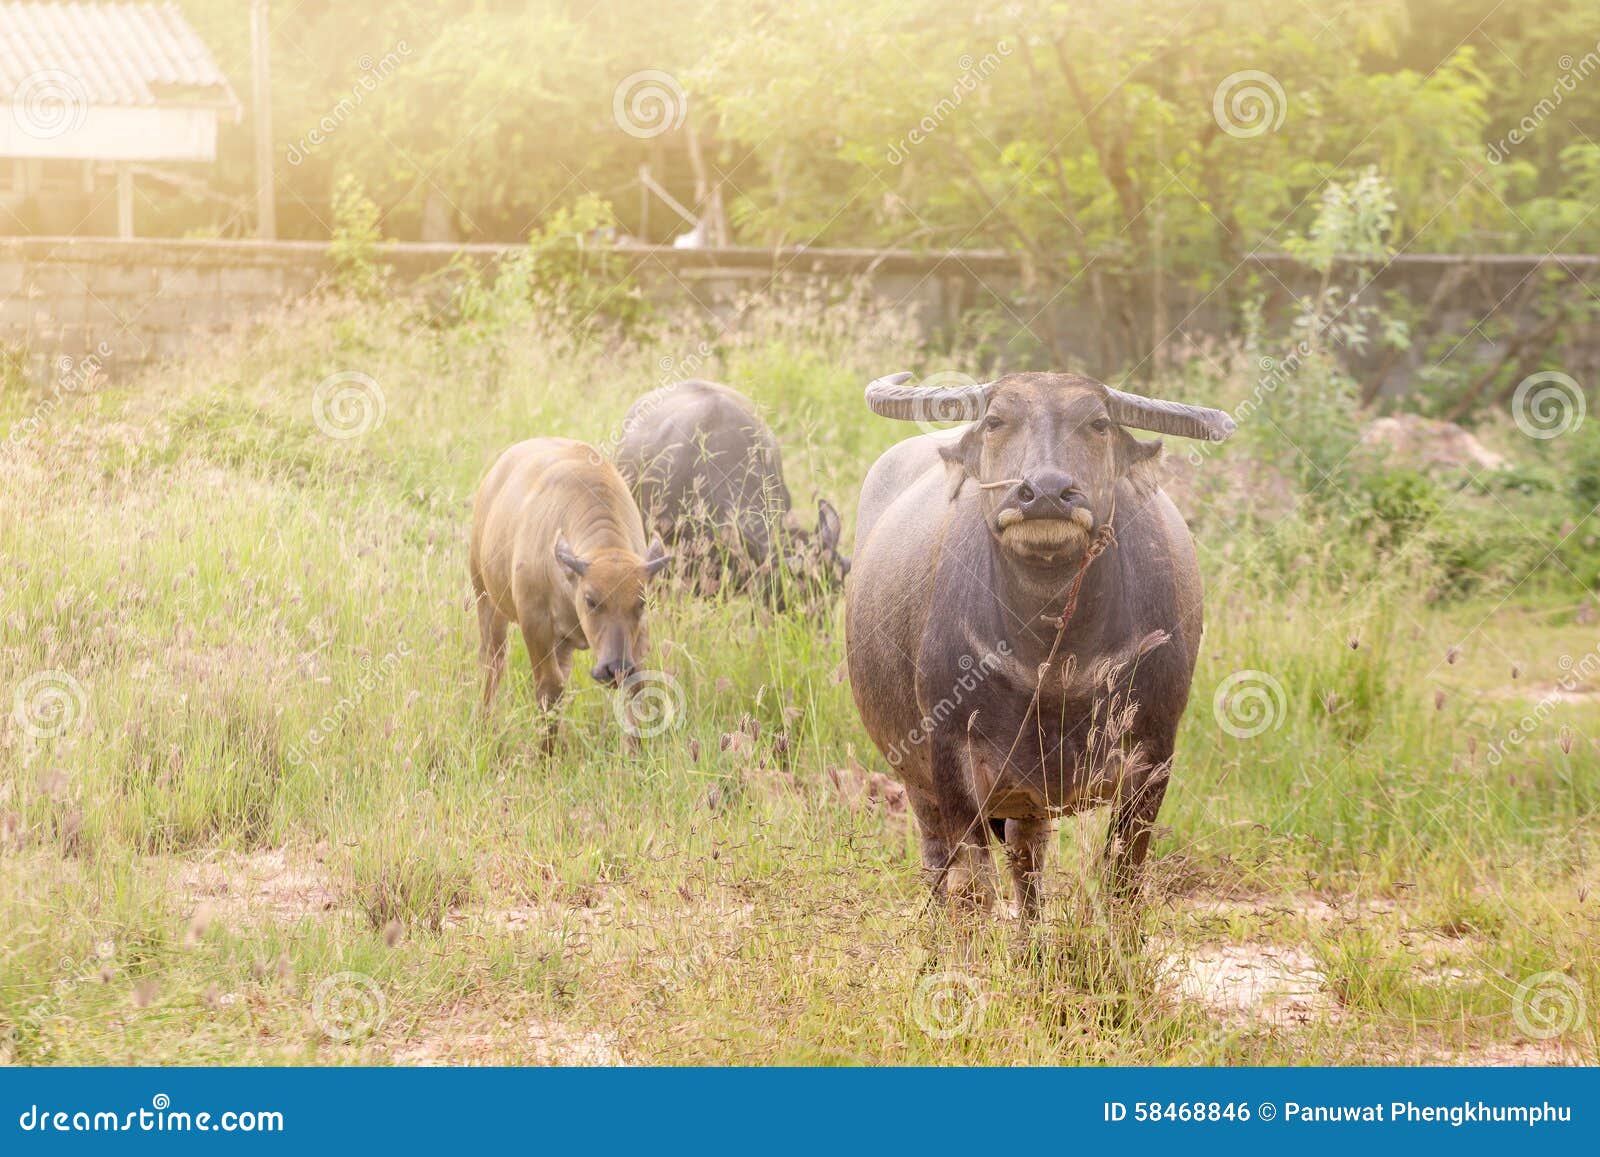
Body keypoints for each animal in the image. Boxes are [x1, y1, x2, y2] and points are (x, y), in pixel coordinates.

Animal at [845, 371, 1234, 916]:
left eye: (1098, 423)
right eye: (994, 420)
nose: (1046, 493)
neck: (1051, 655)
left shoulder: (1153, 754)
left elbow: (1122, 882)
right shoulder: (950, 756)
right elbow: (973, 888)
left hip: (1029, 800)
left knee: (1027, 864)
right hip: (918, 782)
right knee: (943, 867)